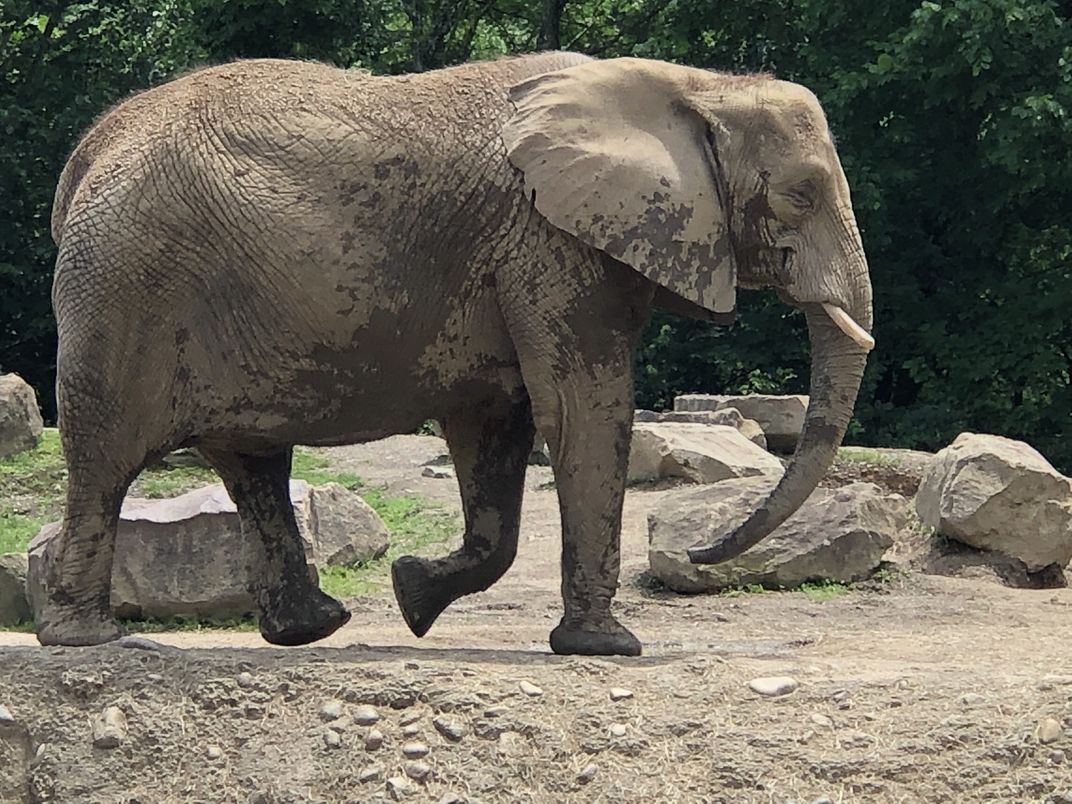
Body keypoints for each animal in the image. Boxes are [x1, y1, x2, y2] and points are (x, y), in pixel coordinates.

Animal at [42, 51, 874, 655]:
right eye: (802, 194)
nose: (700, 555)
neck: (700, 87)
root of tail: (91, 150)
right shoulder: (550, 243)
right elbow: (581, 410)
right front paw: (609, 648)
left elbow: (496, 426)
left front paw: (412, 594)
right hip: (126, 286)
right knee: (105, 459)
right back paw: (89, 640)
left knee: (252, 463)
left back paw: (312, 628)